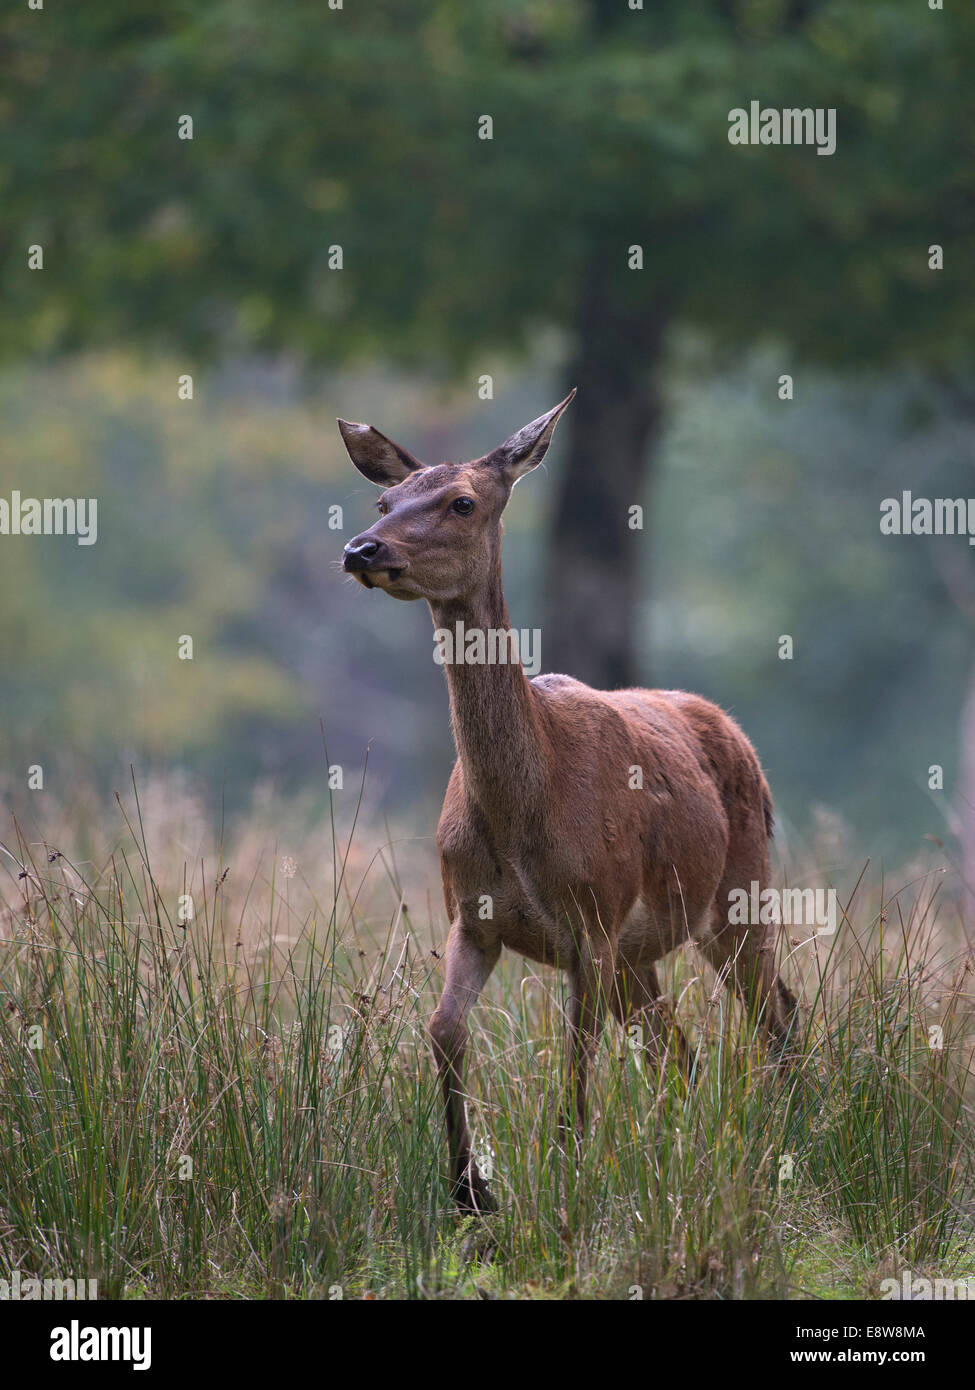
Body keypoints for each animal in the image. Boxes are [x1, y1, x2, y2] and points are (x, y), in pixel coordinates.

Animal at [339, 391, 799, 1214]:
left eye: (462, 502)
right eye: (384, 501)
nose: (362, 549)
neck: (526, 814)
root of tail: (737, 736)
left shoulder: (593, 920)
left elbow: (576, 1065)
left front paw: (567, 1179)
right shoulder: (473, 916)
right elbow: (442, 1030)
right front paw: (470, 1189)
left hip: (738, 891)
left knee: (775, 1013)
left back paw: (789, 1148)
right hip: (642, 952)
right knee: (678, 1048)